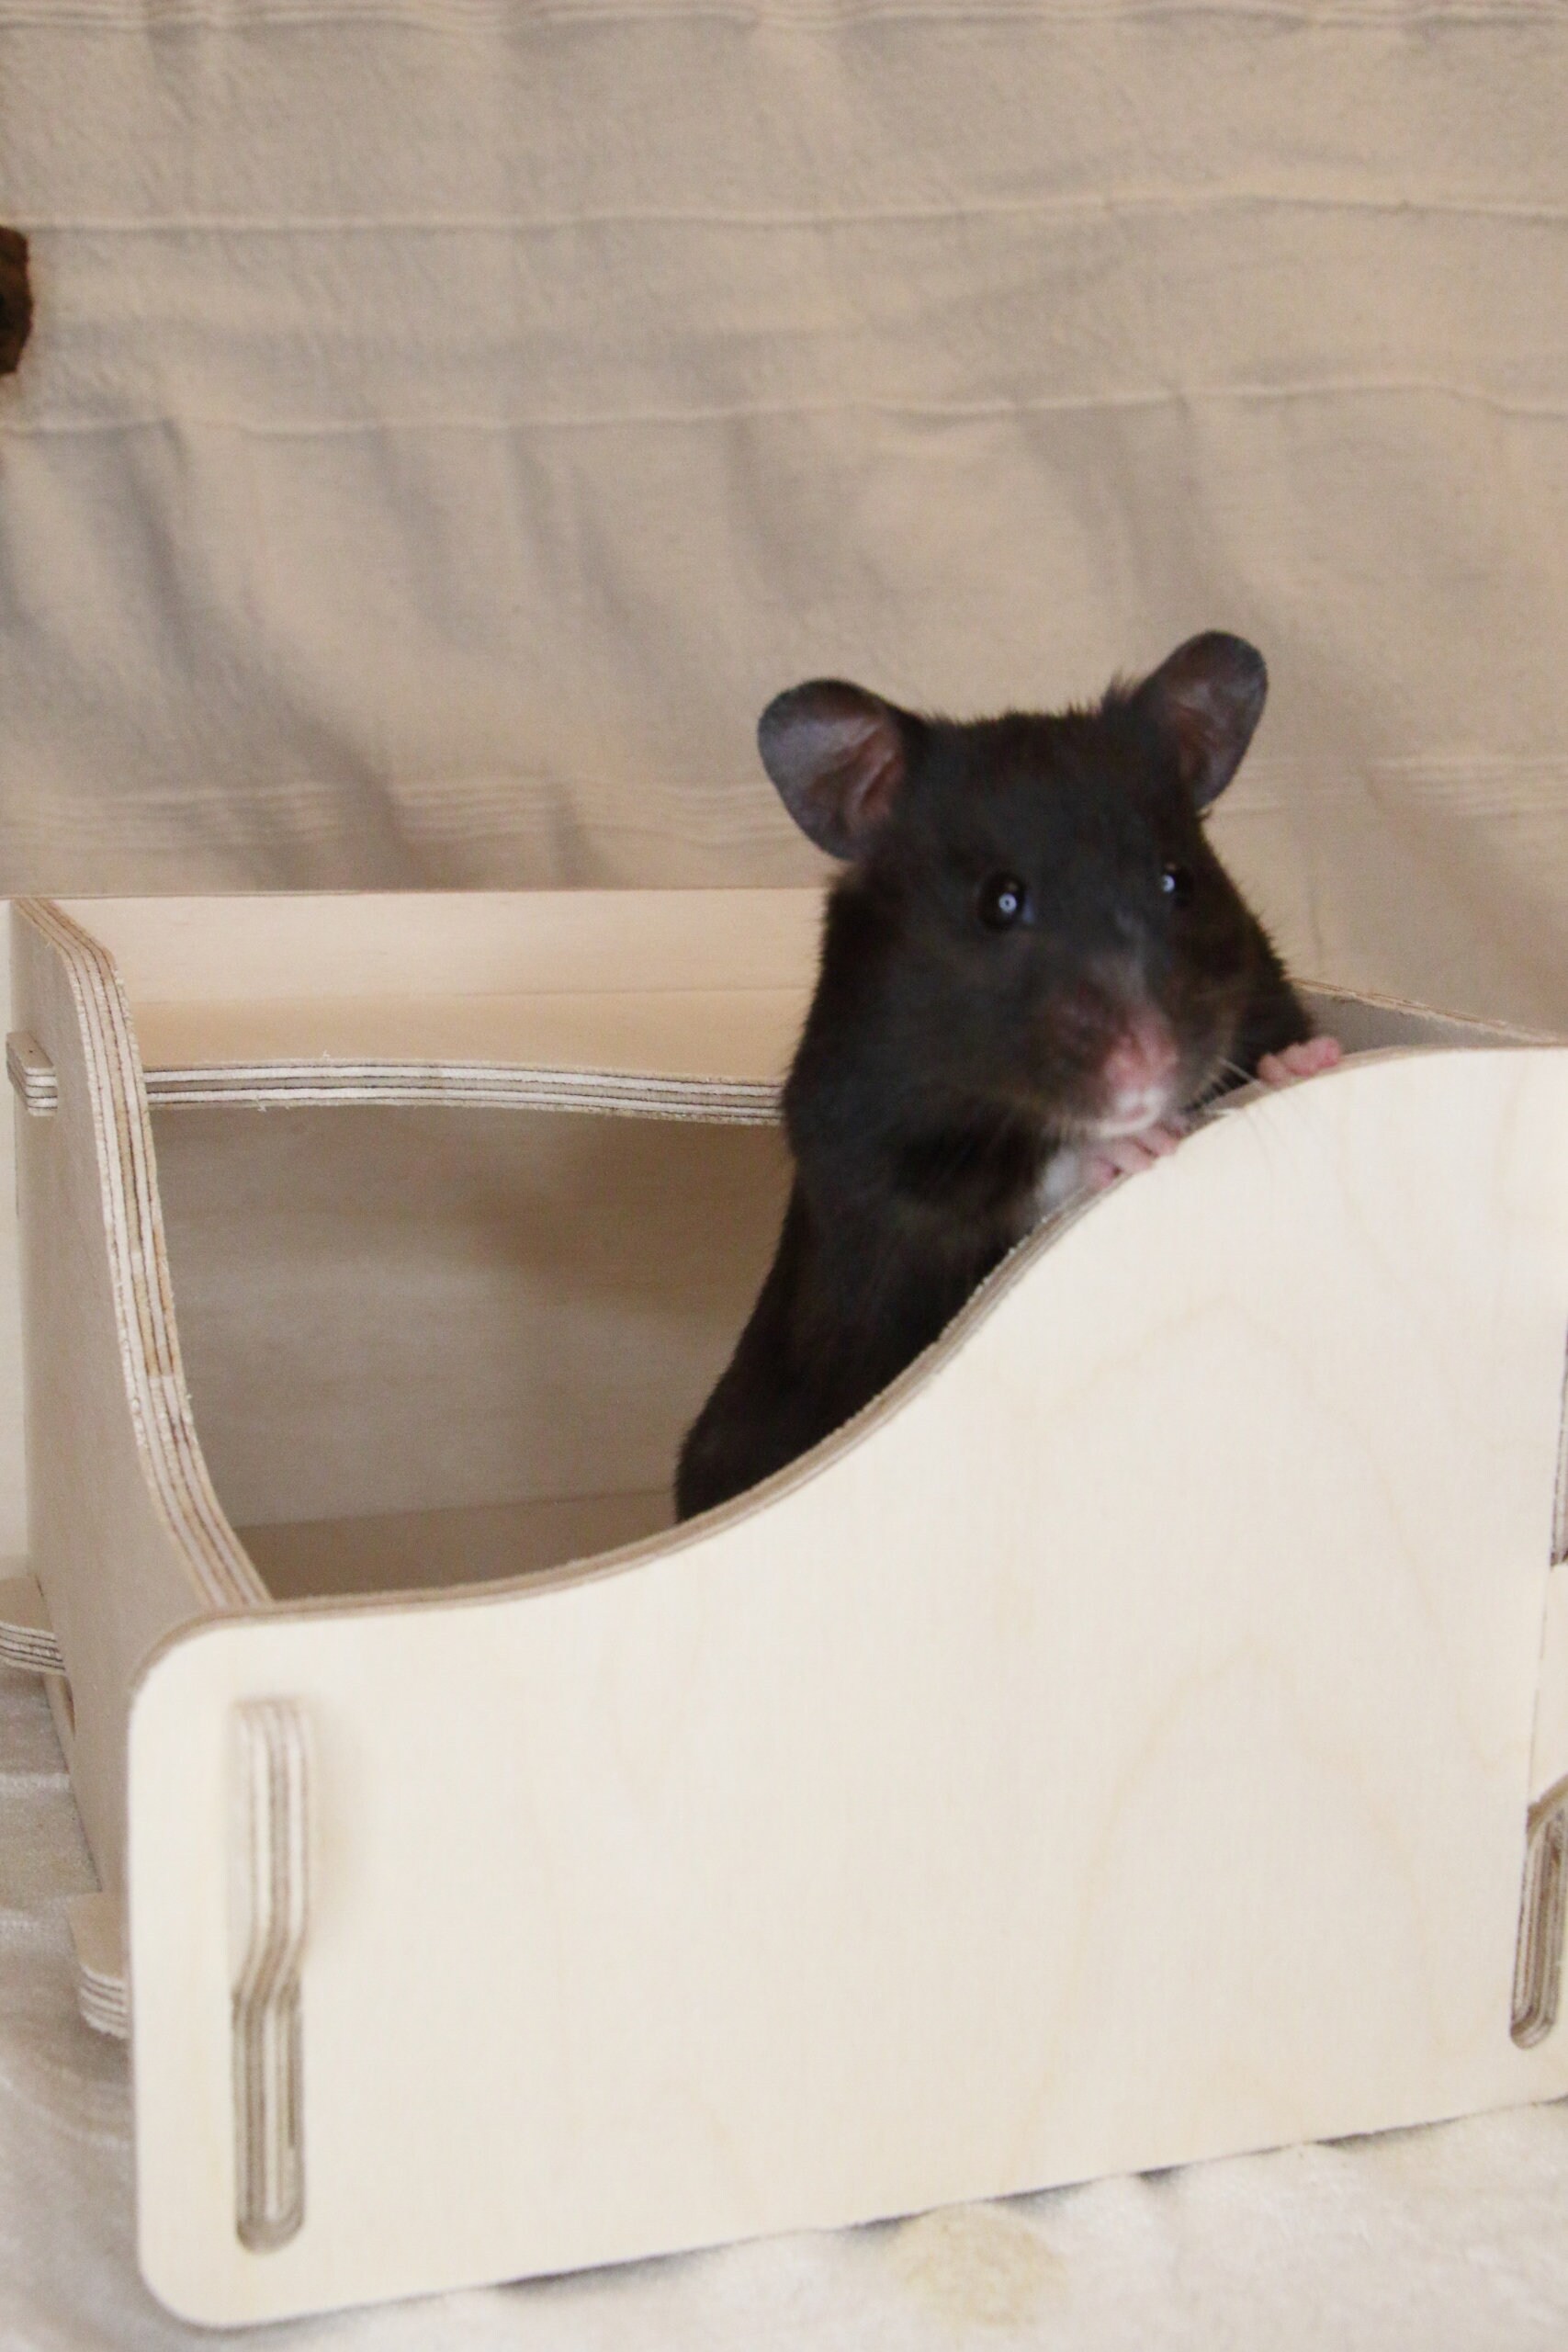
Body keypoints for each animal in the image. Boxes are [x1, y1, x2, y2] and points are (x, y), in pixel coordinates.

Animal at [675, 631, 1325, 1523]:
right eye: (998, 902)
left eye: (1177, 880)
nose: (1149, 1065)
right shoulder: (865, 1170)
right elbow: (989, 1193)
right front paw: (1130, 1148)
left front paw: (1304, 1061)